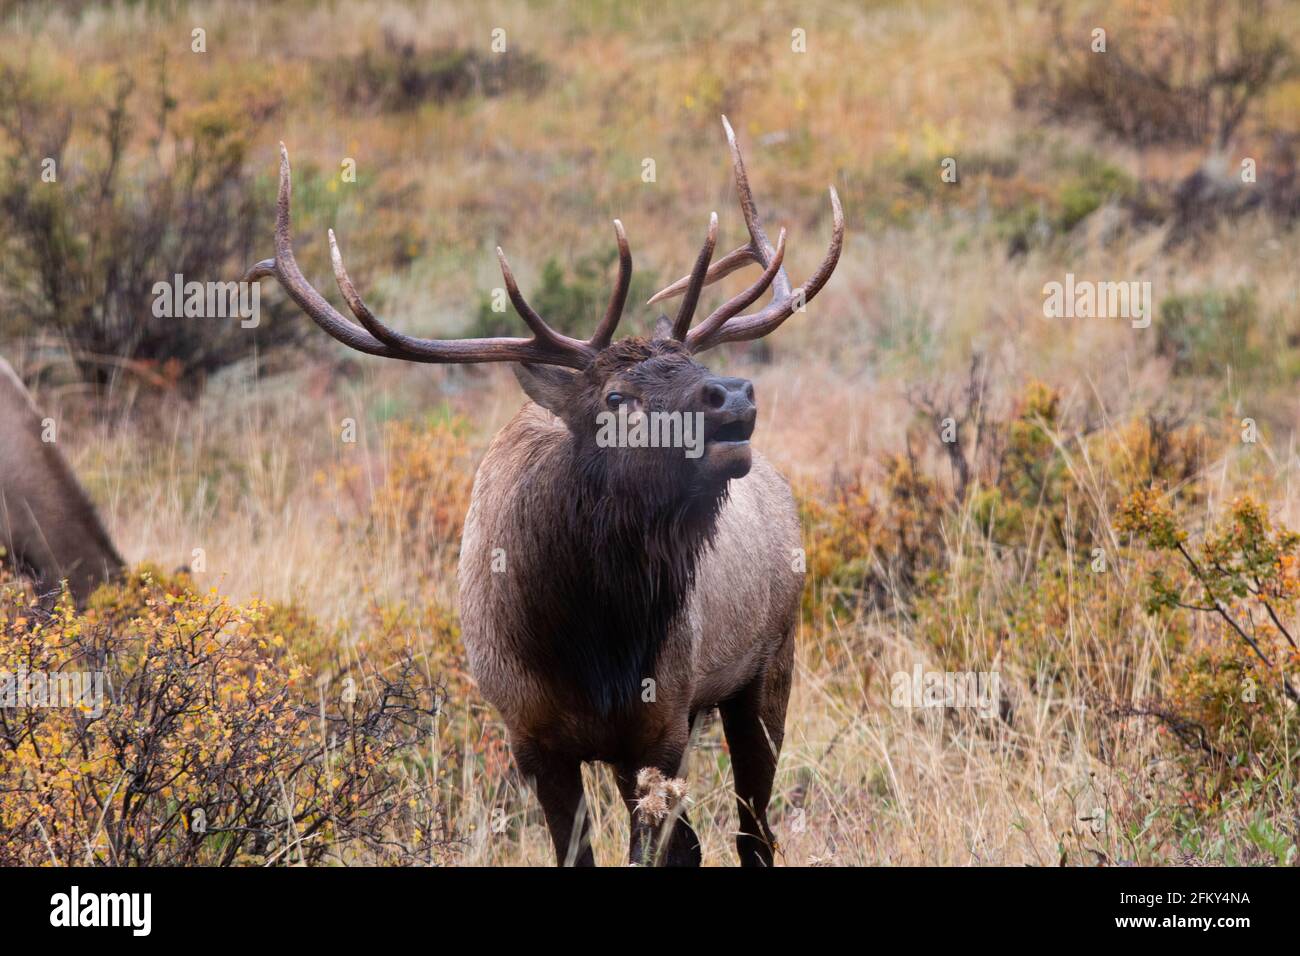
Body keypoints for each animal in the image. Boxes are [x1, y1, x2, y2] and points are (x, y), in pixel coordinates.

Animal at [246, 116, 843, 866]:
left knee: (751, 829)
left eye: (692, 364)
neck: (587, 640)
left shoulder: (662, 724)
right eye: (615, 397)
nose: (732, 393)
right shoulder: (530, 737)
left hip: (768, 665)